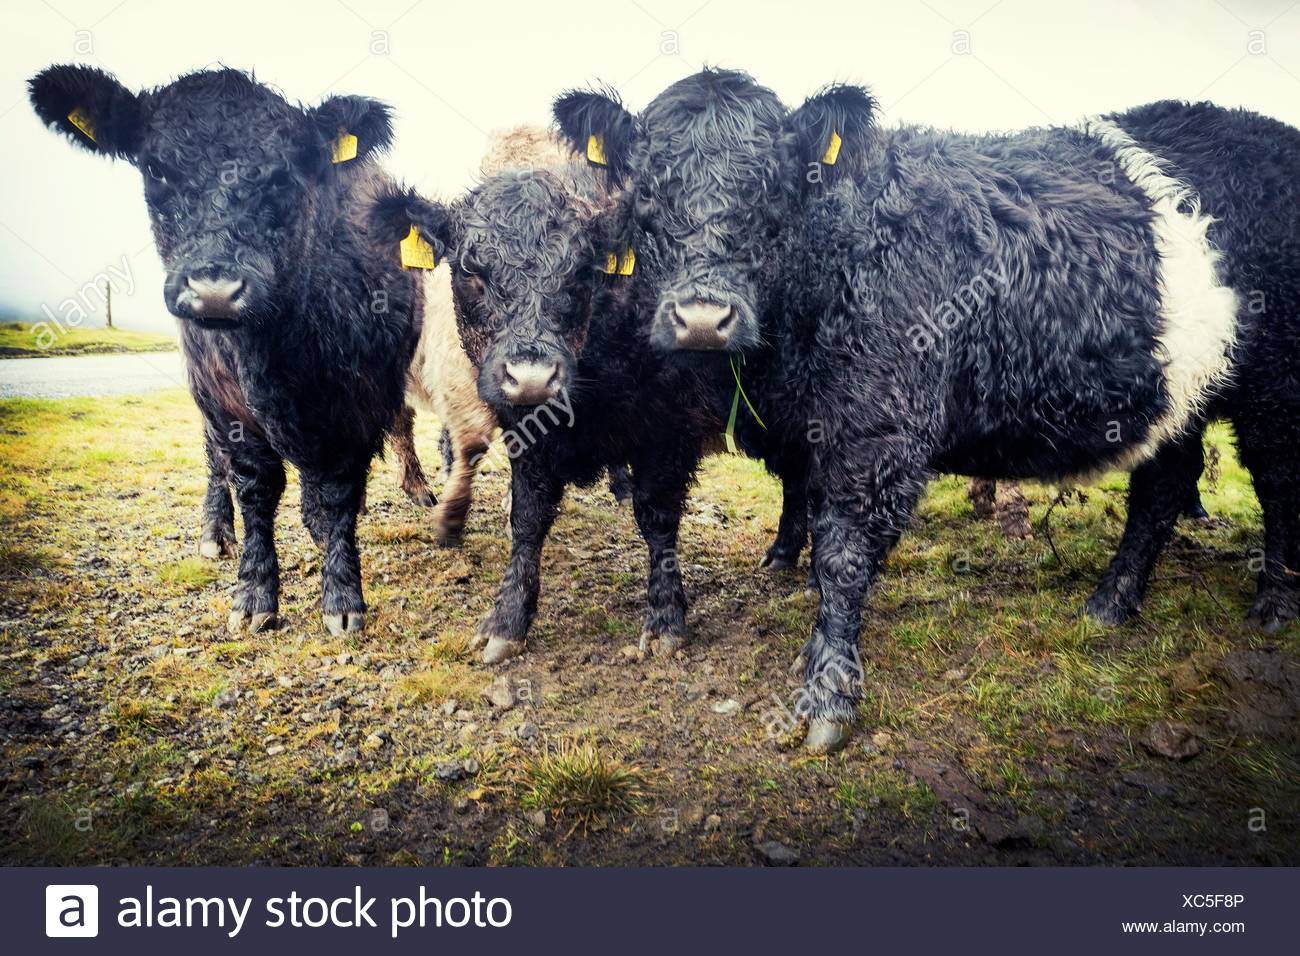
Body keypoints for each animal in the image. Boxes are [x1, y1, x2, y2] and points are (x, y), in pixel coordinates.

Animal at [30, 64, 425, 636]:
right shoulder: (226, 403)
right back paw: (216, 532)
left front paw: (342, 595)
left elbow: (339, 490)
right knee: (214, 458)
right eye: (156, 169)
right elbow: (256, 486)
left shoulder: (365, 399)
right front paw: (254, 594)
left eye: (285, 174)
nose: (214, 289)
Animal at [369, 127, 810, 664]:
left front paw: (665, 619)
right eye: (472, 269)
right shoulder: (526, 434)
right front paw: (506, 621)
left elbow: (657, 517)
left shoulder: (669, 431)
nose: (532, 377)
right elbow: (528, 518)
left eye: (582, 269)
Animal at [556, 69, 1300, 752]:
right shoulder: (806, 430)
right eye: (646, 192)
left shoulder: (877, 429)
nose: (703, 319)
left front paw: (829, 694)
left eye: (776, 189)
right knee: (1164, 485)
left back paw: (1273, 604)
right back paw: (1110, 604)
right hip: (1177, 397)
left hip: (1278, 388)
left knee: (1277, 486)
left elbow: (844, 553)